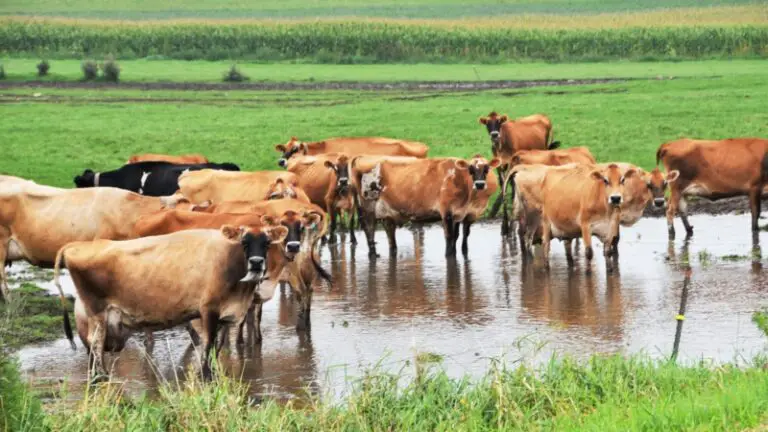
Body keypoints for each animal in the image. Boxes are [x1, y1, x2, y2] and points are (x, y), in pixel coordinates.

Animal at [53, 225, 288, 381]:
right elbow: (207, 350)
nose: (256, 263)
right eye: (244, 242)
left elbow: (216, 349)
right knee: (96, 349)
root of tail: (79, 245)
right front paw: (205, 378)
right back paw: (102, 378)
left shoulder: (225, 317)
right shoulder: (208, 311)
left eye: (267, 243)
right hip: (98, 315)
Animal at [351, 155, 500, 258]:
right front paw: (448, 255)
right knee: (369, 230)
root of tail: (361, 157)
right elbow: (449, 238)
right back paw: (373, 254)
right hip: (367, 208)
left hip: (388, 214)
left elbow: (459, 236)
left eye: (486, 169)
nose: (480, 184)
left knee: (390, 236)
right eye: (471, 169)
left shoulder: (462, 214)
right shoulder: (447, 213)